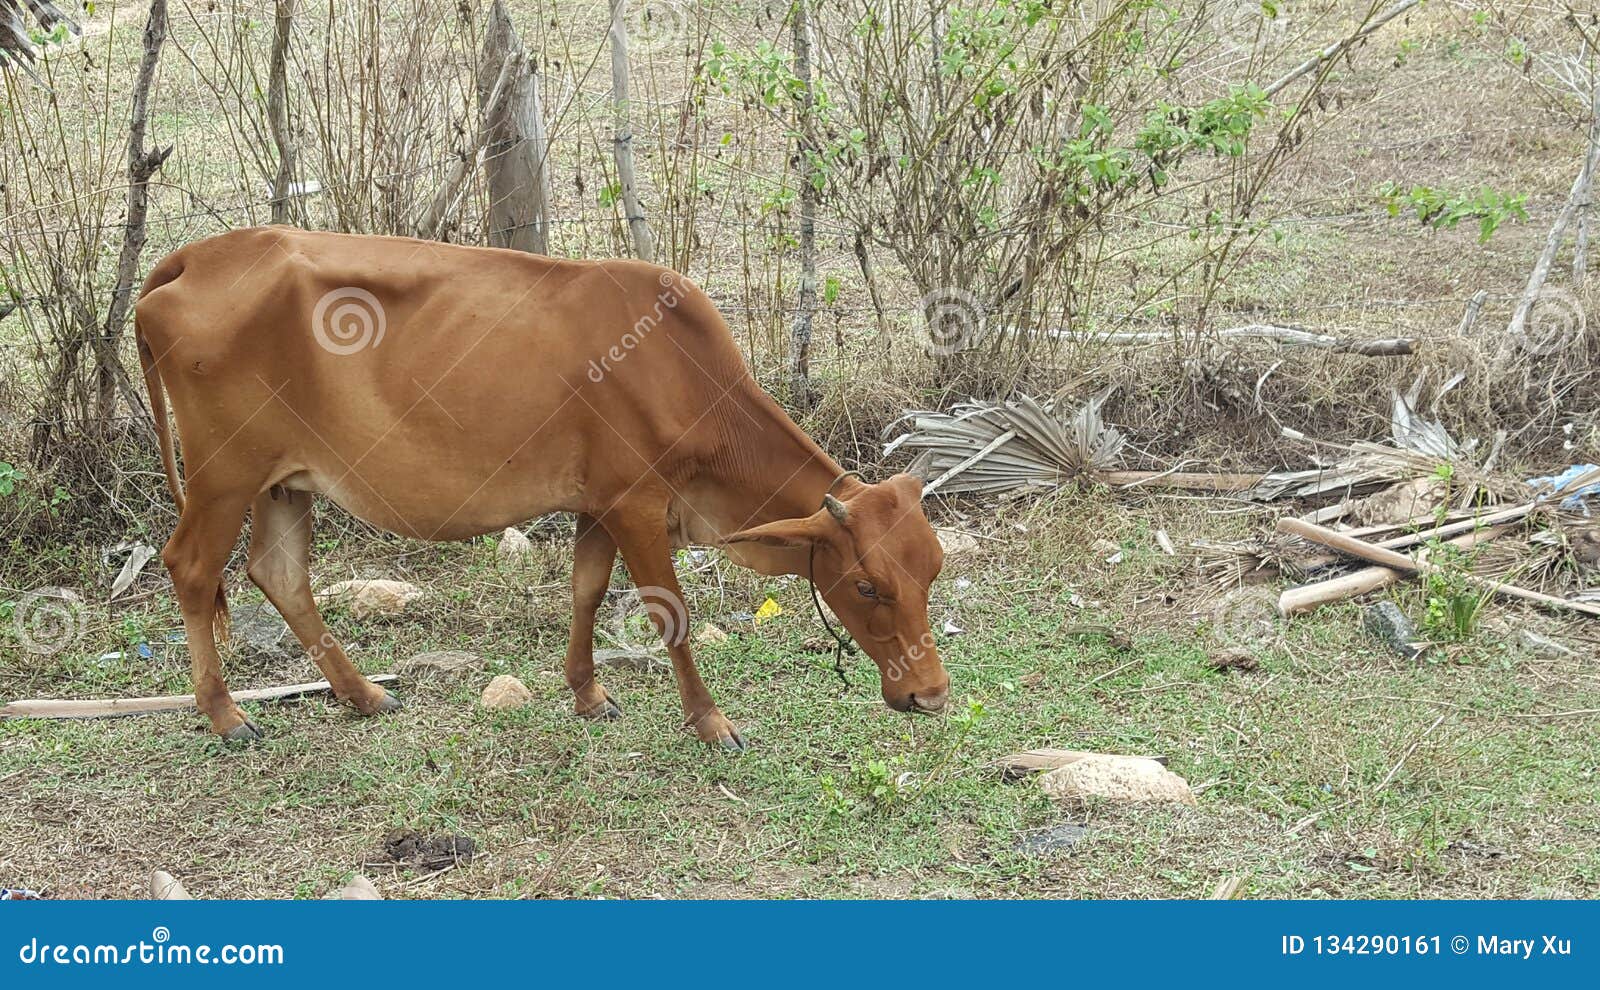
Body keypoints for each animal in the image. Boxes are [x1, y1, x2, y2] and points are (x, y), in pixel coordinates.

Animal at [133, 227, 950, 749]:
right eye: (868, 586)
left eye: (932, 573)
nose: (931, 694)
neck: (685, 377)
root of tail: (193, 257)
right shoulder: (637, 505)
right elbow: (672, 615)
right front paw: (712, 723)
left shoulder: (597, 505)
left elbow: (586, 591)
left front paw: (587, 693)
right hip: (222, 476)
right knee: (192, 569)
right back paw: (225, 715)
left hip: (285, 482)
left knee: (278, 574)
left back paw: (362, 694)